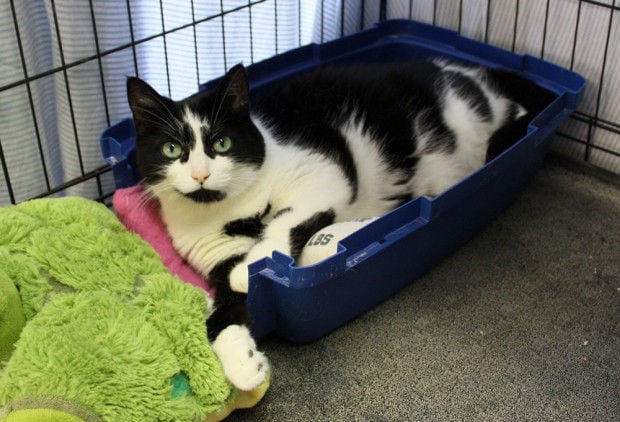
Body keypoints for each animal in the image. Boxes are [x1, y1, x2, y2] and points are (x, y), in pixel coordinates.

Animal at [126, 59, 554, 390]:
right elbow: (218, 317)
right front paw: (244, 366)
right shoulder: (211, 255)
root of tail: (468, 69)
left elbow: (284, 225)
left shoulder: (321, 174)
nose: (200, 175)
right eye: (172, 149)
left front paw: (253, 267)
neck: (229, 212)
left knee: (511, 116)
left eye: (222, 144)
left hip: (469, 114)